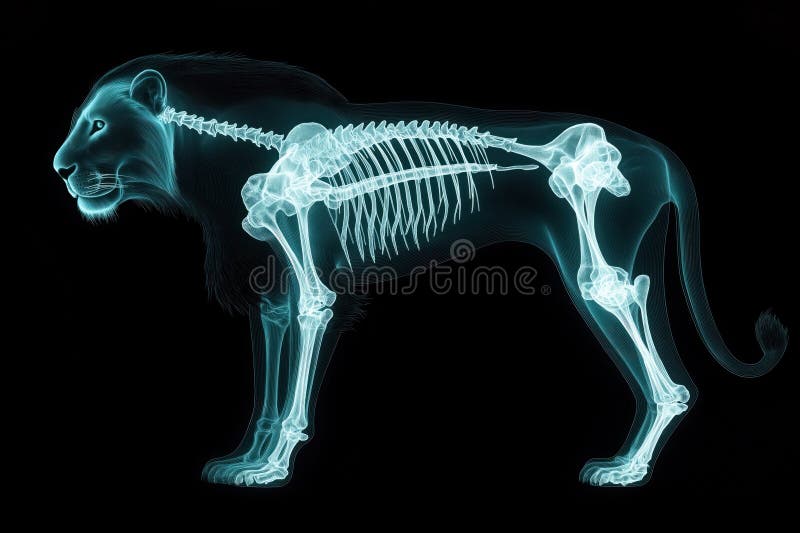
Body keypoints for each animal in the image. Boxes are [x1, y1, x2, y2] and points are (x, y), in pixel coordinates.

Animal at [53, 54, 788, 487]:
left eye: (97, 125)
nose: (60, 168)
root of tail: (659, 155)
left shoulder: (302, 259)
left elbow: (312, 312)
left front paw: (271, 468)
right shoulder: (264, 275)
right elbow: (271, 347)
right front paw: (244, 460)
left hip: (595, 238)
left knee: (625, 312)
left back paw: (627, 469)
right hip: (628, 242)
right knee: (642, 300)